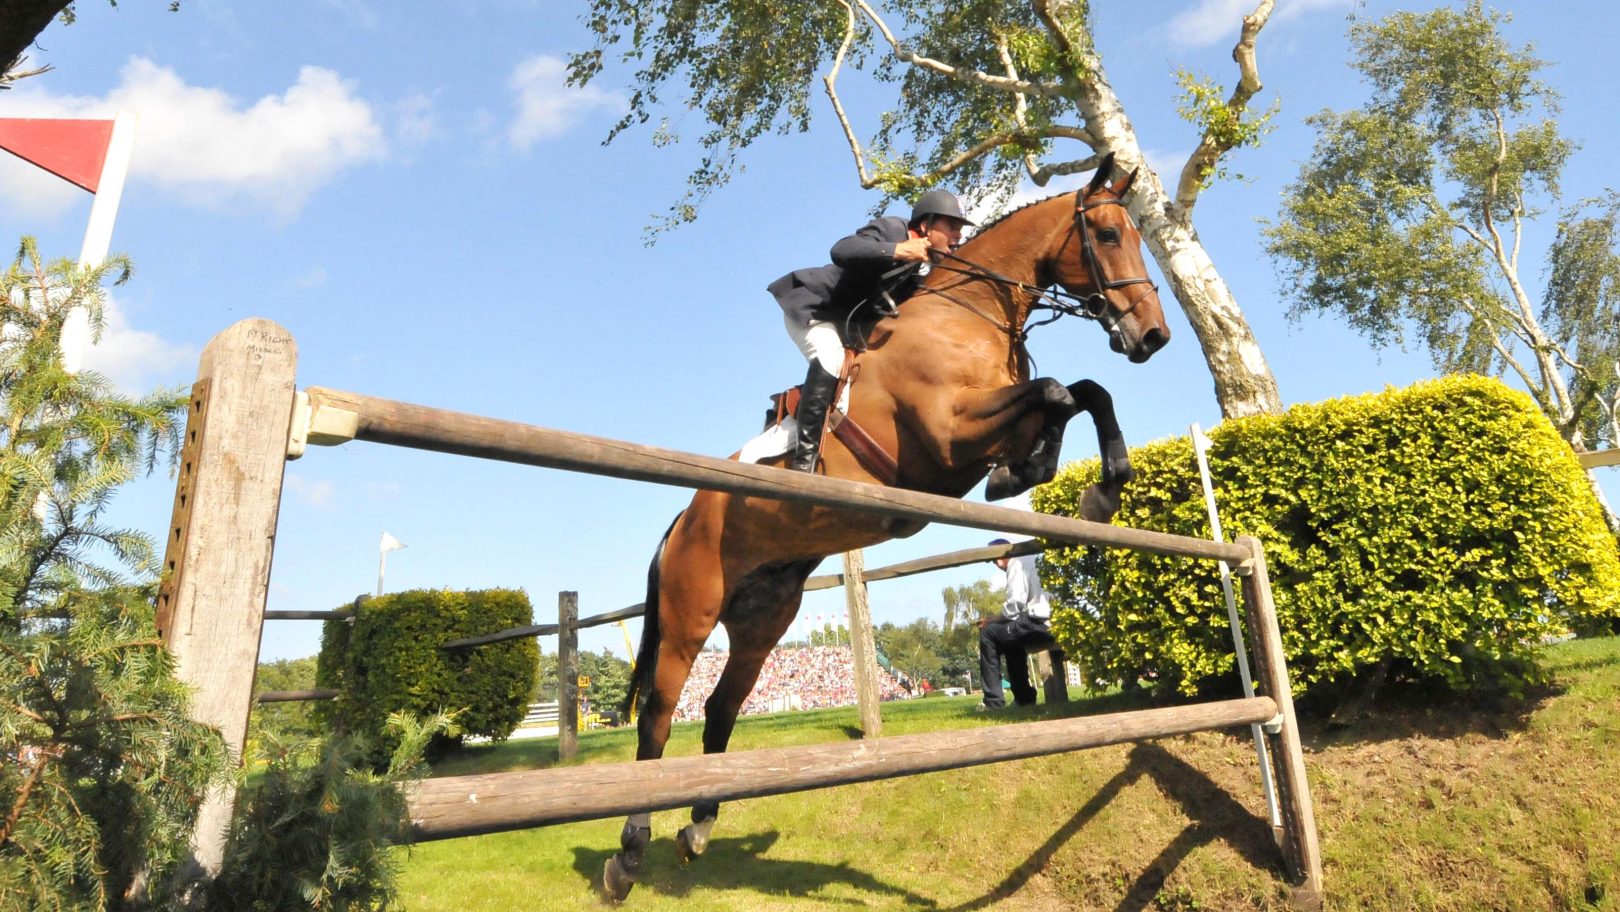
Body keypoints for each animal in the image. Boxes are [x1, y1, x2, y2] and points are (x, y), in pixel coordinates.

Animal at [601, 155, 1169, 901]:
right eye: (1105, 234)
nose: (1153, 336)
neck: (969, 312)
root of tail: (682, 519)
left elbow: (1080, 393)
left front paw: (1092, 485)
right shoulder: (948, 435)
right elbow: (1053, 392)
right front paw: (1039, 475)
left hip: (763, 619)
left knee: (720, 710)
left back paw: (697, 830)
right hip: (689, 614)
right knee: (661, 716)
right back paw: (628, 856)